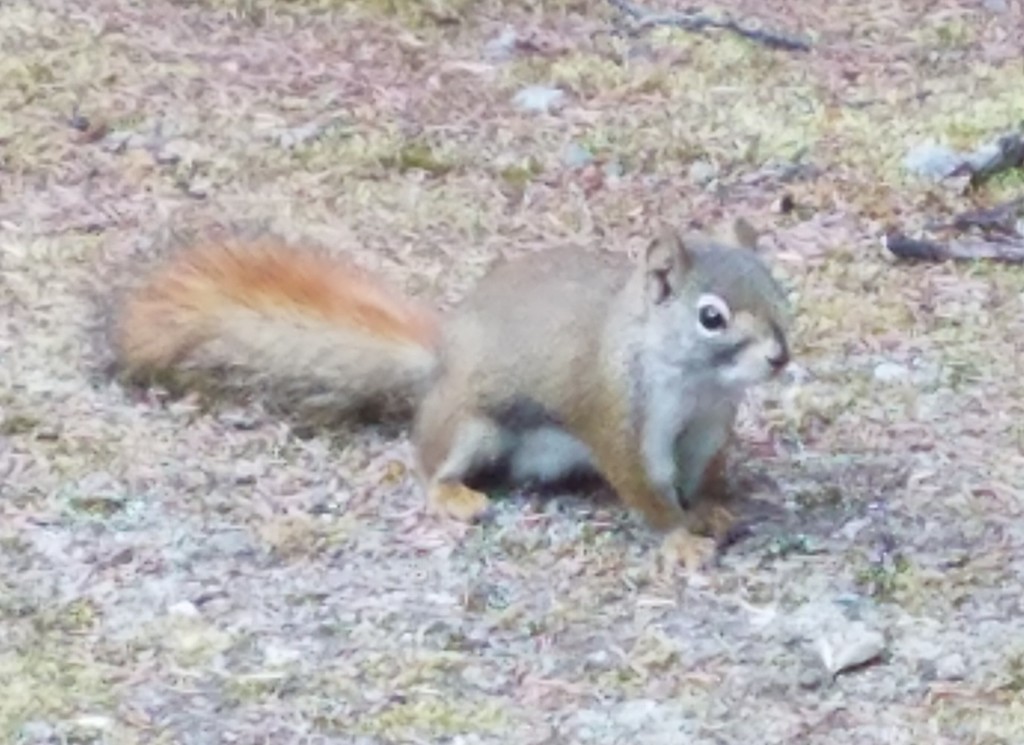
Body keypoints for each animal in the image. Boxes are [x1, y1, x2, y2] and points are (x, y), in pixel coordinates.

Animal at [111, 221, 791, 571]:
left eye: (779, 289)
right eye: (711, 317)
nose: (780, 357)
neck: (696, 382)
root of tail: (441, 361)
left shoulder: (706, 428)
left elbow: (699, 475)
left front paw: (710, 509)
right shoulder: (619, 416)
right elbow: (646, 488)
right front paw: (680, 539)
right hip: (472, 425)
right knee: (428, 461)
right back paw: (452, 495)